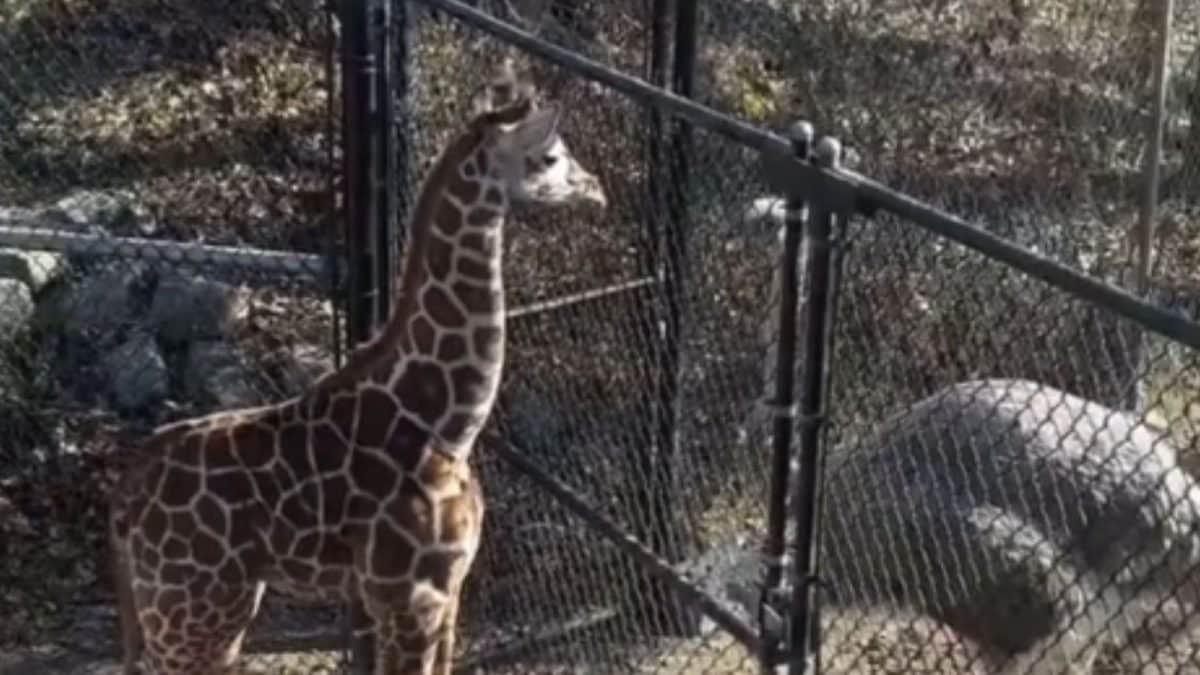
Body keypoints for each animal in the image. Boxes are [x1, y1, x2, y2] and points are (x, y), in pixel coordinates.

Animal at [106, 64, 607, 675]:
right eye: (552, 156)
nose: (598, 189)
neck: (449, 423)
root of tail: (125, 502)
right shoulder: (409, 597)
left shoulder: (445, 591)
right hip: (197, 616)